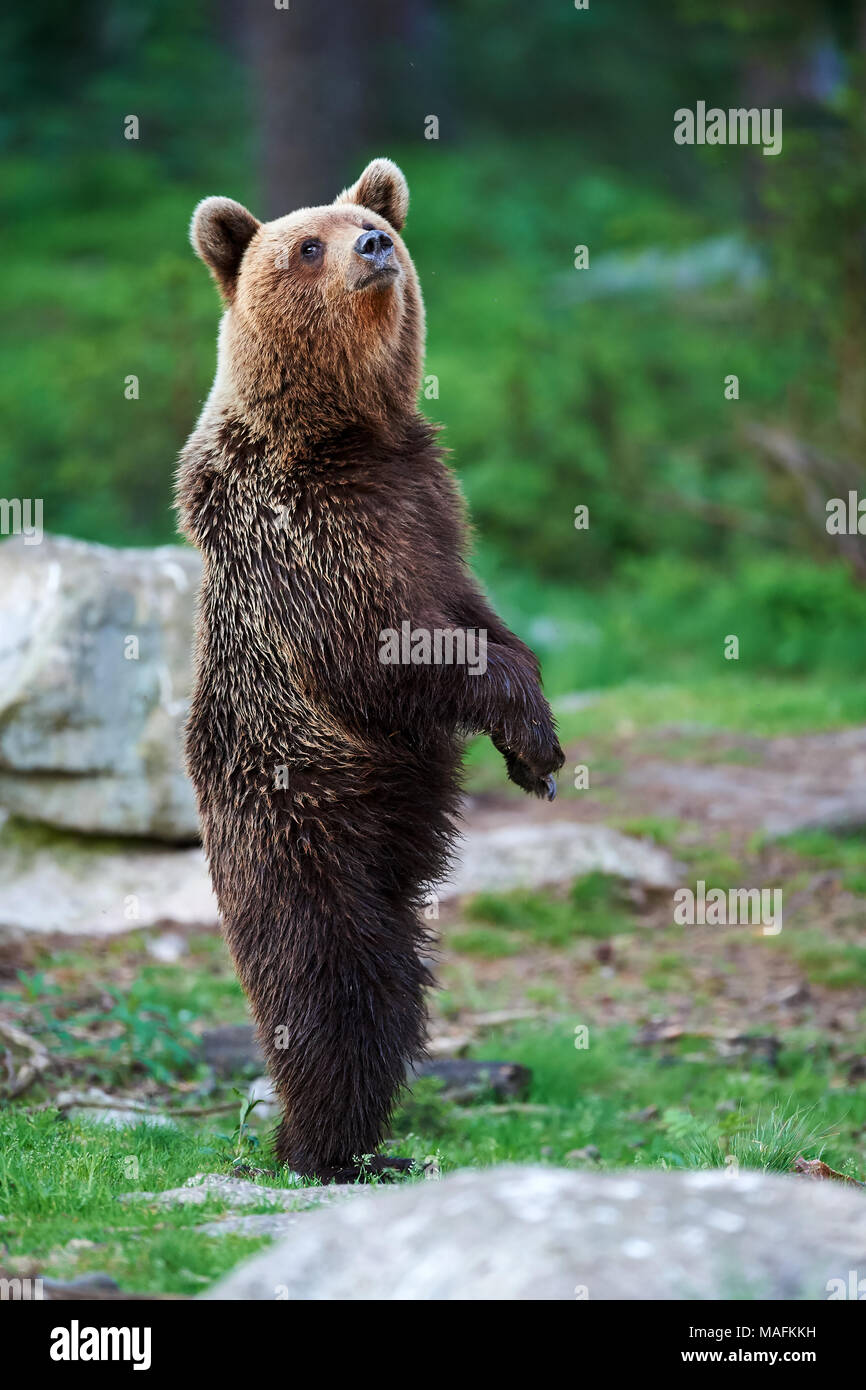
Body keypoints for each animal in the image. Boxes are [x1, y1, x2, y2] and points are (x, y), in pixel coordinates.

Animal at [176, 158, 564, 1181]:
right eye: (308, 244)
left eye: (365, 216)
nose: (375, 245)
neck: (349, 433)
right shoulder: (309, 545)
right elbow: (386, 655)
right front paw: (528, 733)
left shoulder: (428, 507)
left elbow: (483, 617)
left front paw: (537, 749)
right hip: (303, 825)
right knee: (332, 985)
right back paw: (322, 1146)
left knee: (396, 990)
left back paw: (367, 1147)